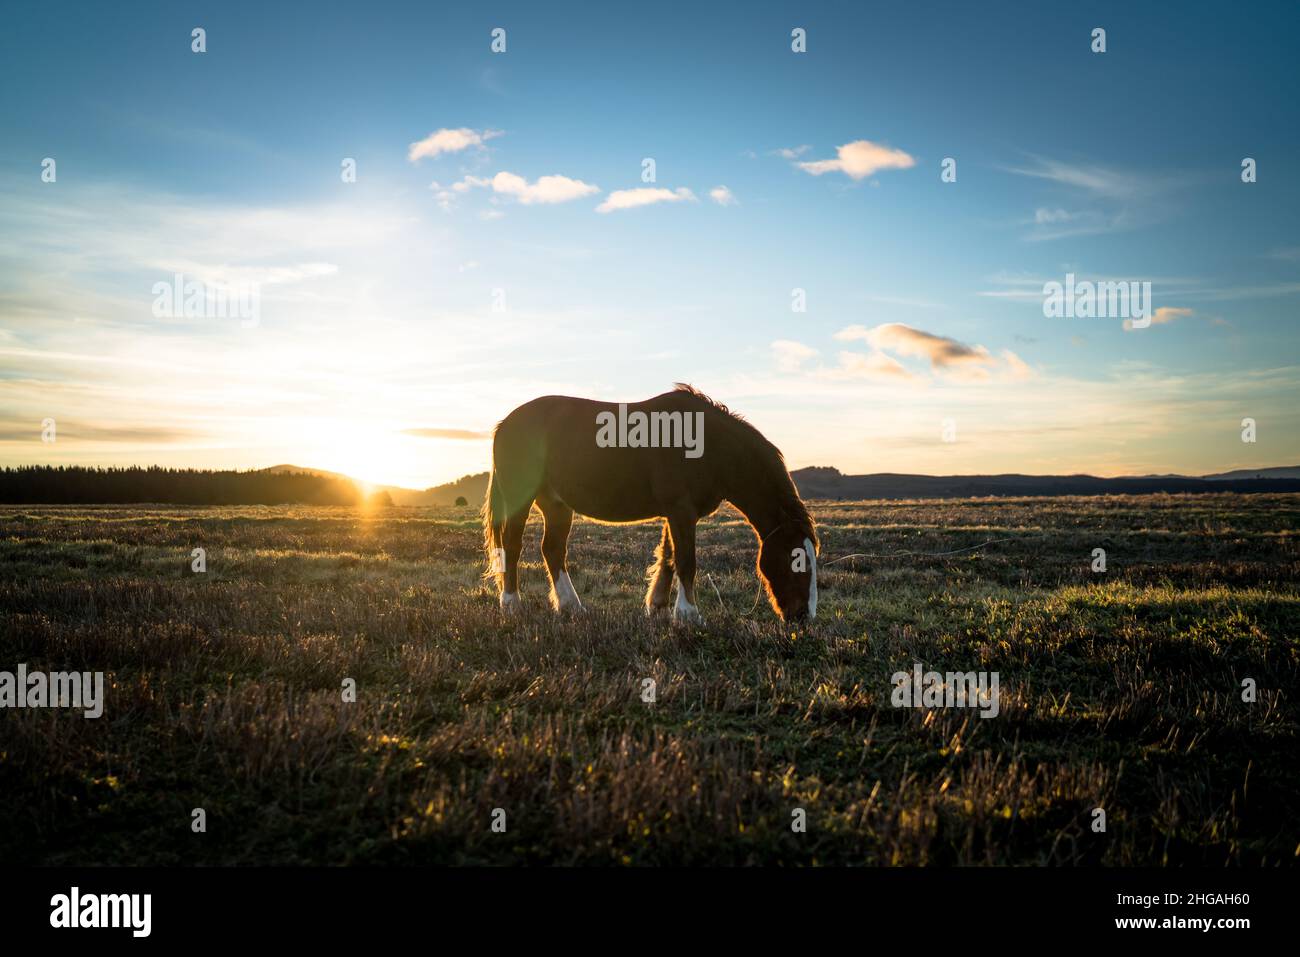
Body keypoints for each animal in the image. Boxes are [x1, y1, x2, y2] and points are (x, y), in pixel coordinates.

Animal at [482, 384, 818, 624]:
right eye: (796, 560)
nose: (803, 617)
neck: (710, 445)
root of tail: (504, 424)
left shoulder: (678, 512)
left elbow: (668, 556)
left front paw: (658, 606)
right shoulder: (681, 510)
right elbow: (686, 560)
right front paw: (688, 614)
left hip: (557, 504)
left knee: (552, 550)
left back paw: (571, 606)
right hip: (521, 498)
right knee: (512, 546)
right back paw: (511, 604)